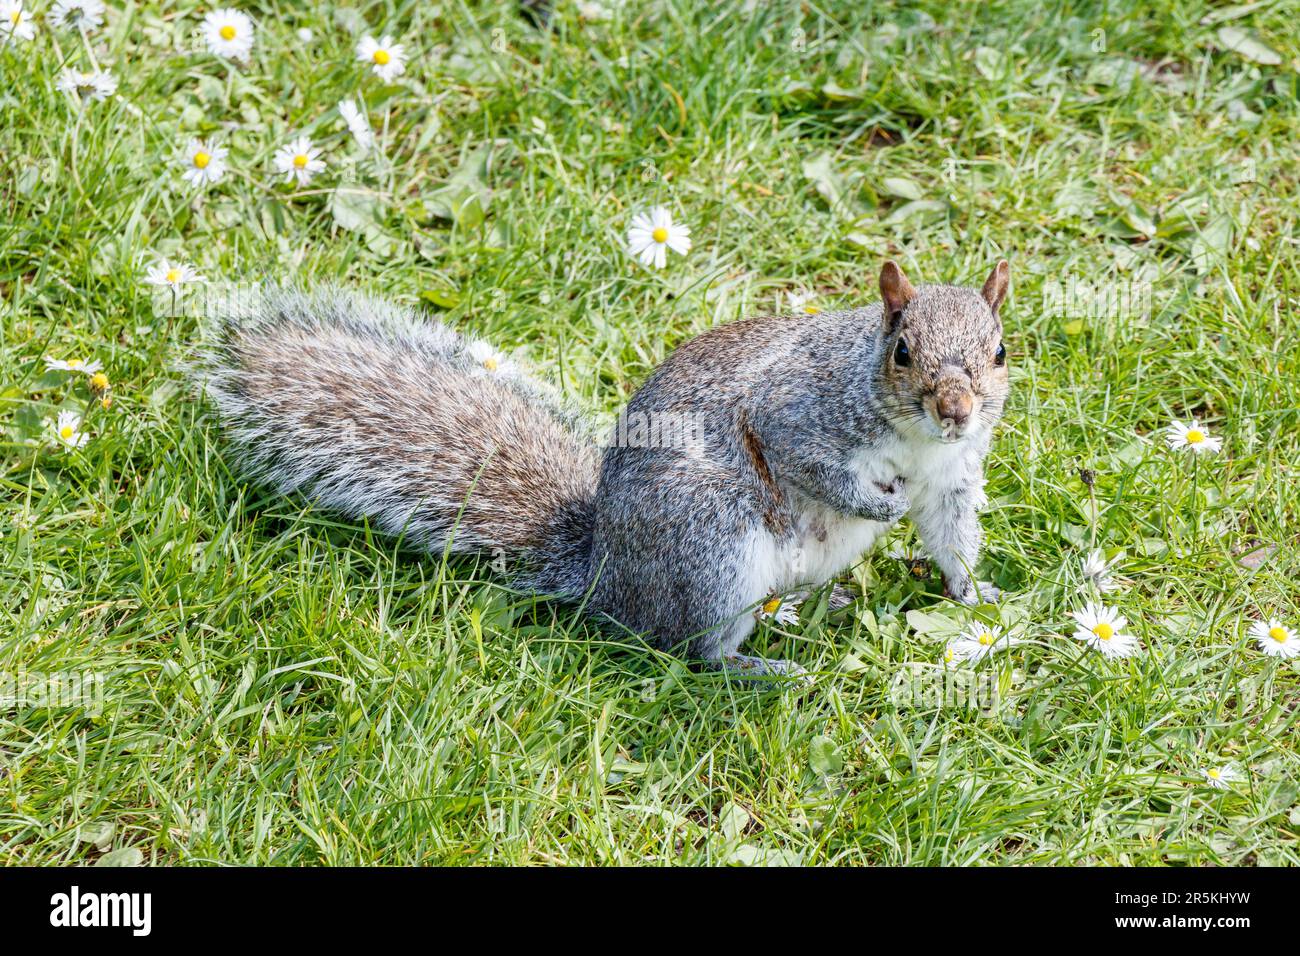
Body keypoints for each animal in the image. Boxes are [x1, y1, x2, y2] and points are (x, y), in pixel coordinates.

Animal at [199, 260, 1011, 681]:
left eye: (1001, 351)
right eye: (902, 351)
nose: (957, 407)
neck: (918, 439)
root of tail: (606, 577)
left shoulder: (953, 475)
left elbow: (951, 536)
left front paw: (980, 597)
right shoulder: (793, 411)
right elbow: (803, 459)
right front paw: (875, 503)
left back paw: (809, 608)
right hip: (712, 547)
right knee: (691, 651)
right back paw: (756, 668)